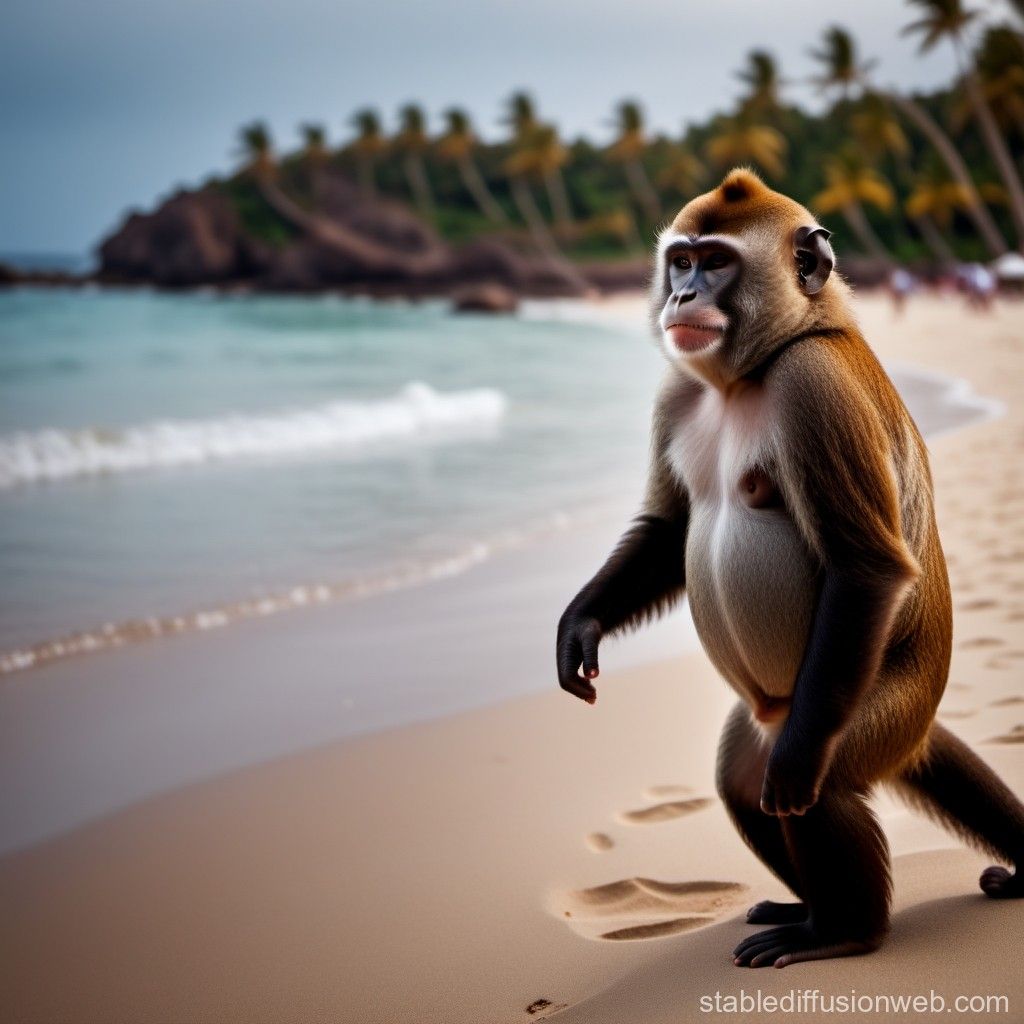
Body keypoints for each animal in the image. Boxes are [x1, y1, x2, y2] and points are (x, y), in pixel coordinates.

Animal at [556, 168, 1024, 968]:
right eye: (682, 261)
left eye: (716, 263)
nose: (684, 295)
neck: (755, 369)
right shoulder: (677, 391)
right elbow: (669, 531)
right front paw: (581, 624)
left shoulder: (814, 387)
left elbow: (865, 568)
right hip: (788, 708)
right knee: (744, 781)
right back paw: (810, 906)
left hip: (860, 699)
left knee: (813, 785)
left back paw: (845, 930)